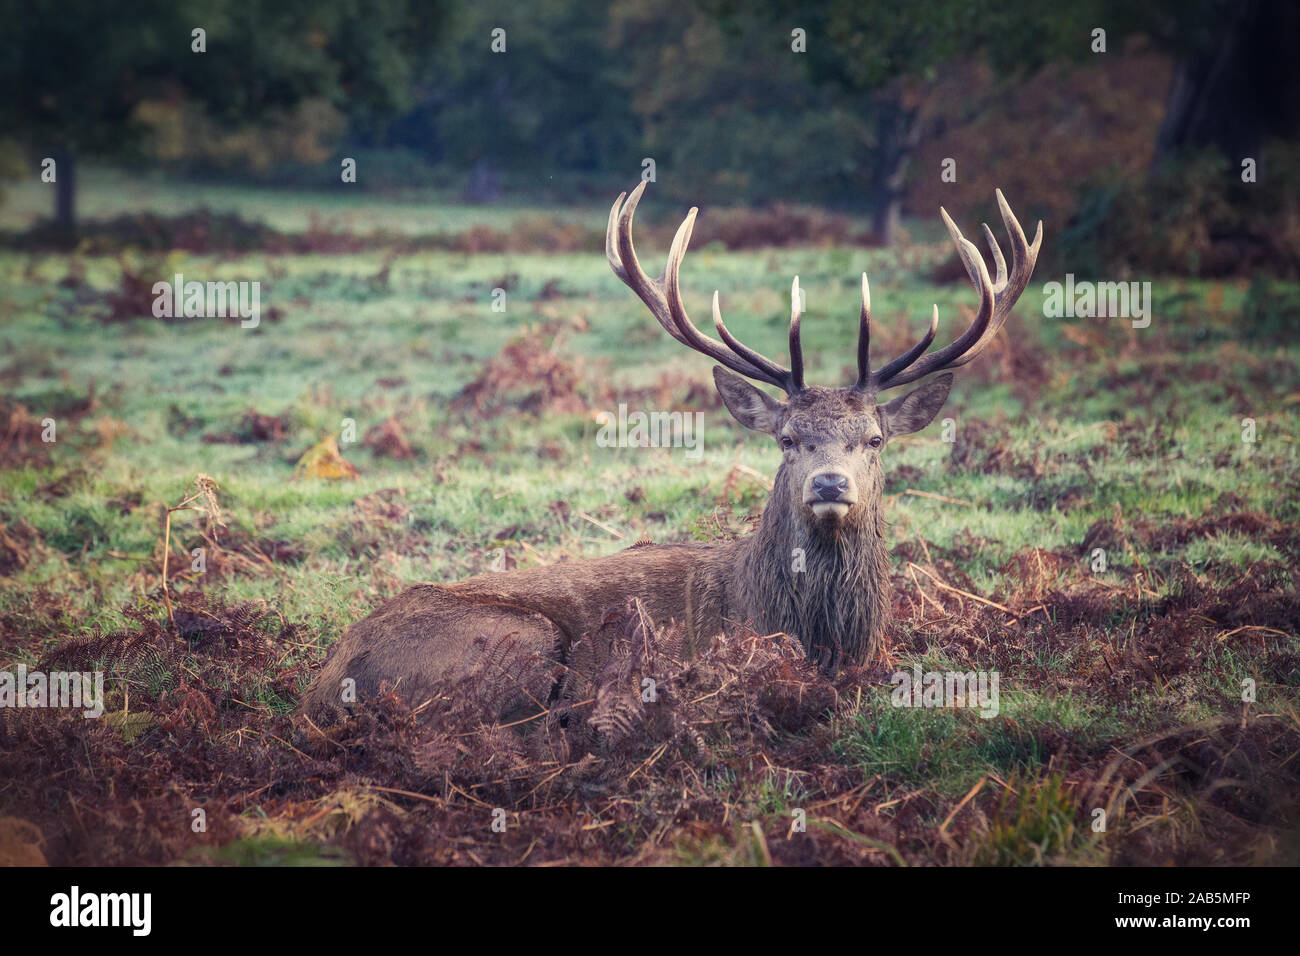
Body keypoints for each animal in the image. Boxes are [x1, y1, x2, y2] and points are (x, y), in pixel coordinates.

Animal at [297, 182, 1041, 726]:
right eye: (787, 439)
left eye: (875, 440)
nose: (830, 485)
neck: (804, 629)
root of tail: (326, 680)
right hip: (518, 643)